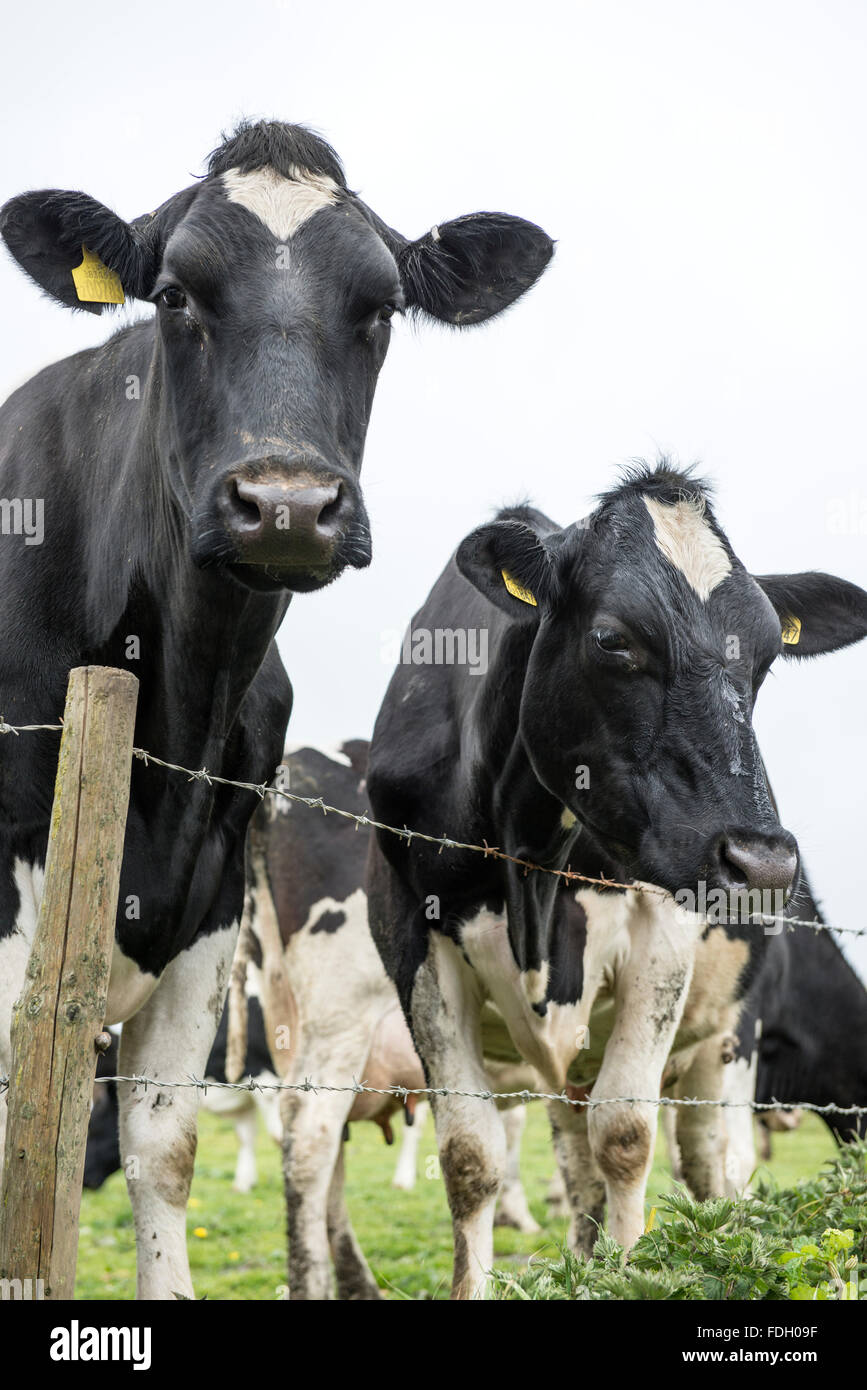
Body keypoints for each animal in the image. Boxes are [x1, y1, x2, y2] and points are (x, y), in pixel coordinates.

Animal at [365, 461, 867, 1297]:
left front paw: (635, 1271)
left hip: (722, 1035)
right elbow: (470, 1155)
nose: (762, 863)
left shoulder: (662, 931)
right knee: (579, 1161)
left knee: (712, 1162)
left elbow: (626, 1133)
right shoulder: (412, 933)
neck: (527, 859)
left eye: (766, 658)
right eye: (612, 640)